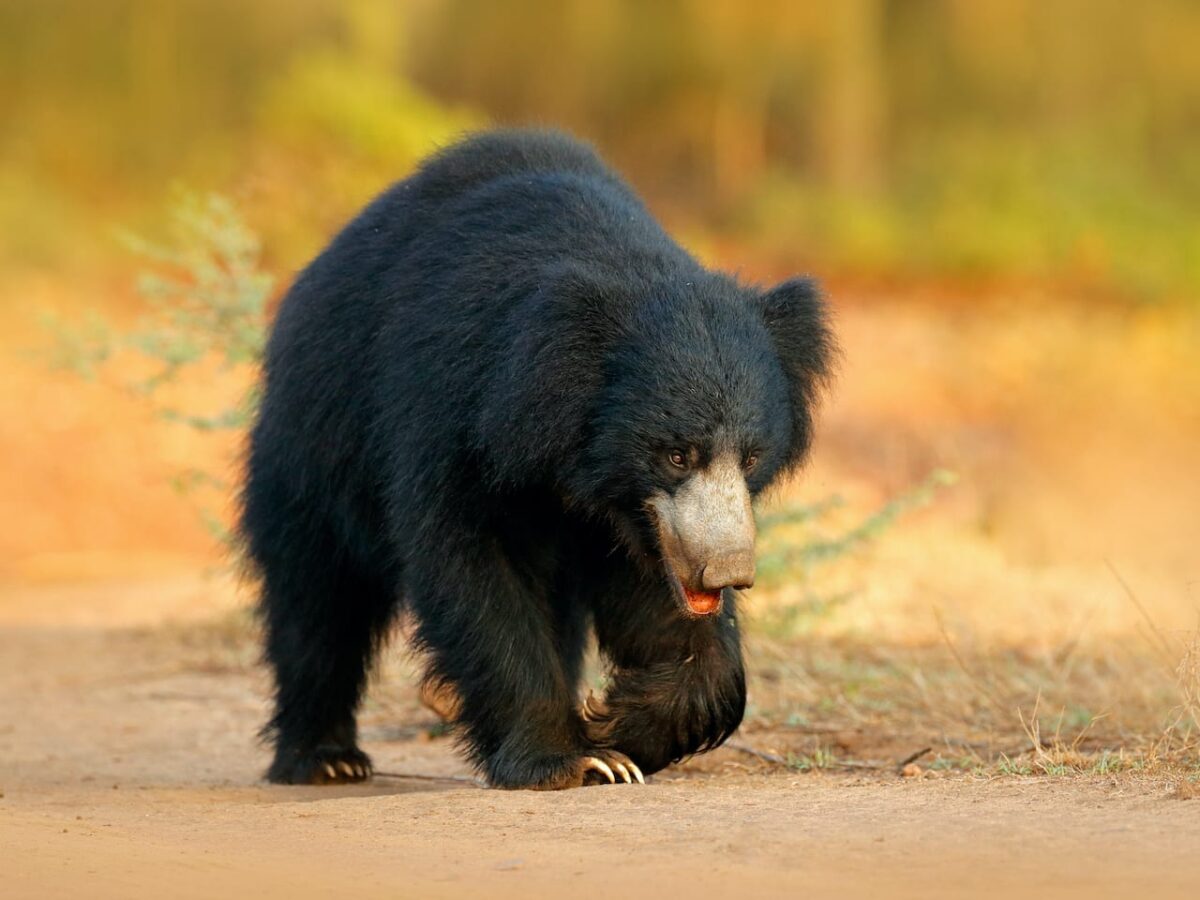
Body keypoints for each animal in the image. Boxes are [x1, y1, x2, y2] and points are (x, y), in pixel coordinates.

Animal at [241, 129, 834, 789]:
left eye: (751, 457)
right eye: (677, 454)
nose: (726, 572)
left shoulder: (639, 517)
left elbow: (658, 596)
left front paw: (617, 724)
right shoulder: (453, 415)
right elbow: (475, 569)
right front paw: (572, 758)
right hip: (311, 452)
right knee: (318, 604)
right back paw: (325, 758)